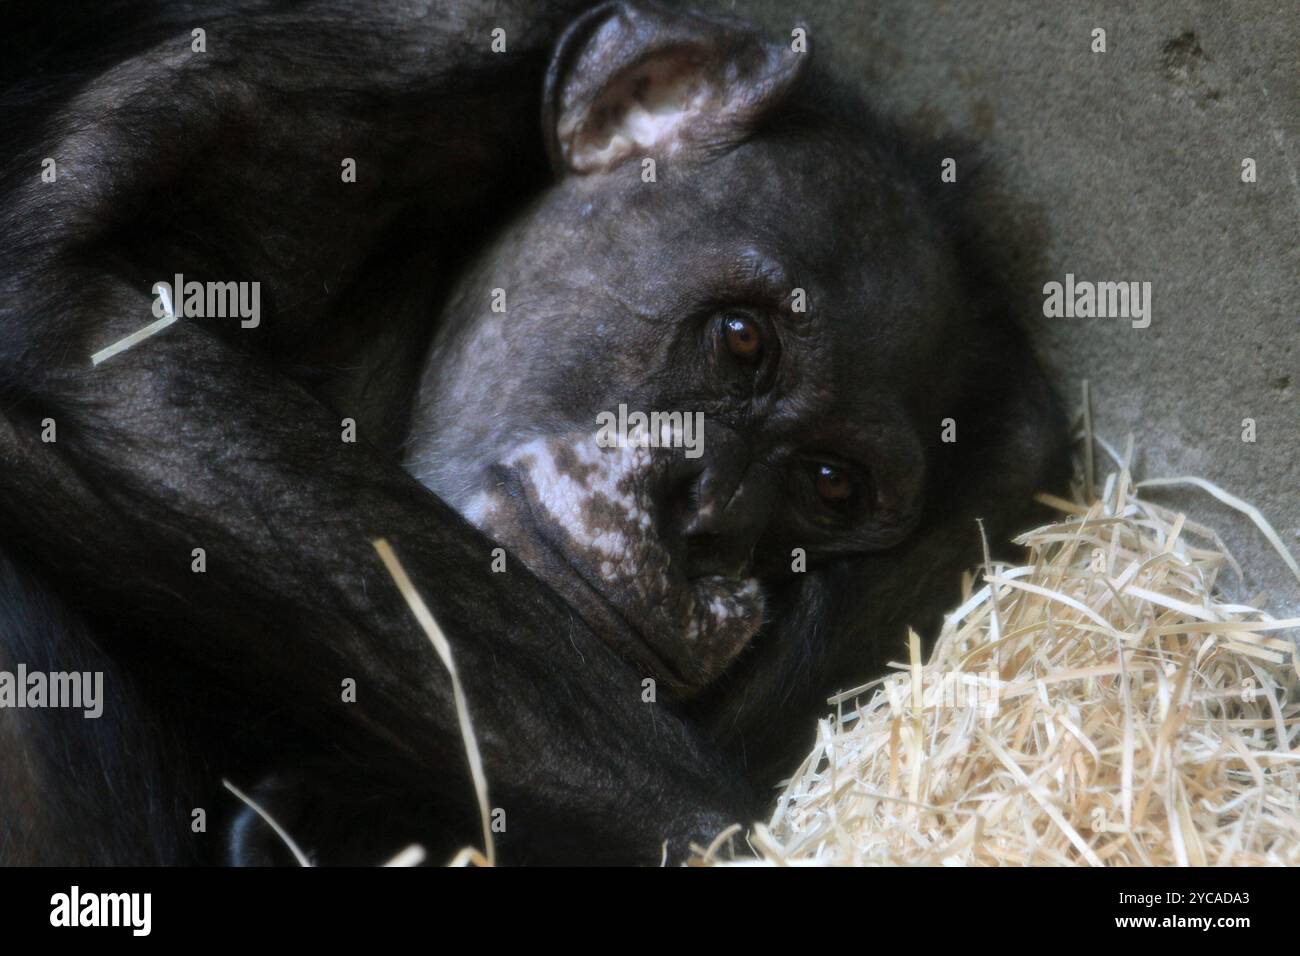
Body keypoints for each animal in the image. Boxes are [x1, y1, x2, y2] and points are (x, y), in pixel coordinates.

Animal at [0, 0, 1067, 865]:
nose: (707, 521)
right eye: (742, 340)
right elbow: (64, 306)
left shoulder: (995, 495)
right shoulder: (404, 58)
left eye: (832, 483)